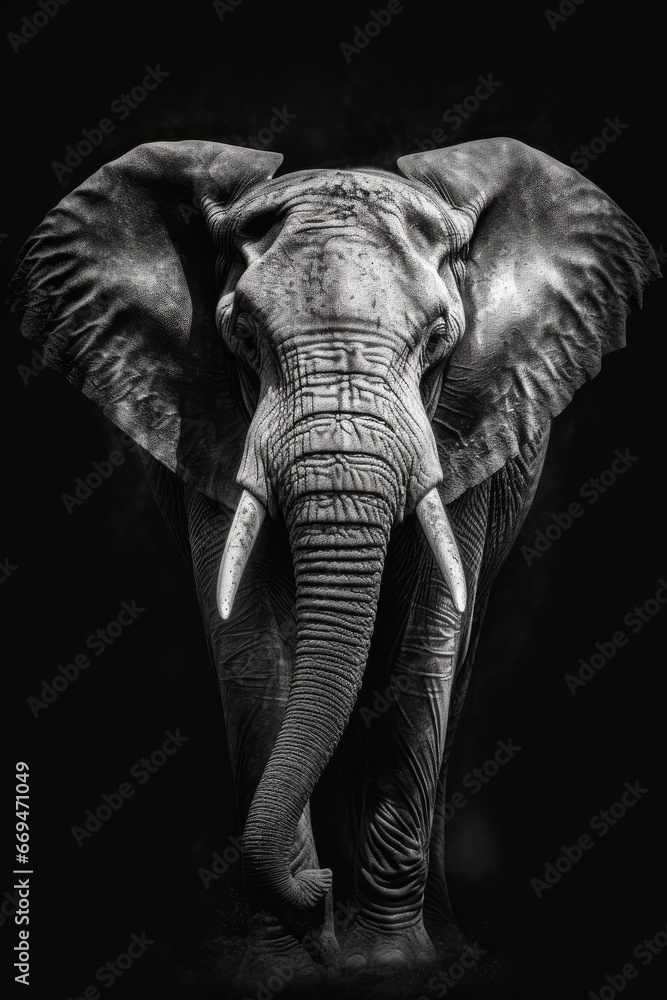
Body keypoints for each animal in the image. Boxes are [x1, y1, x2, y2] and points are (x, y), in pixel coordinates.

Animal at [9, 137, 659, 985]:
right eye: (243, 336)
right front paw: (287, 967)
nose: (313, 887)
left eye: (438, 338)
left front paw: (388, 966)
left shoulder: (463, 423)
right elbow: (252, 649)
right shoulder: (211, 423)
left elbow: (421, 654)